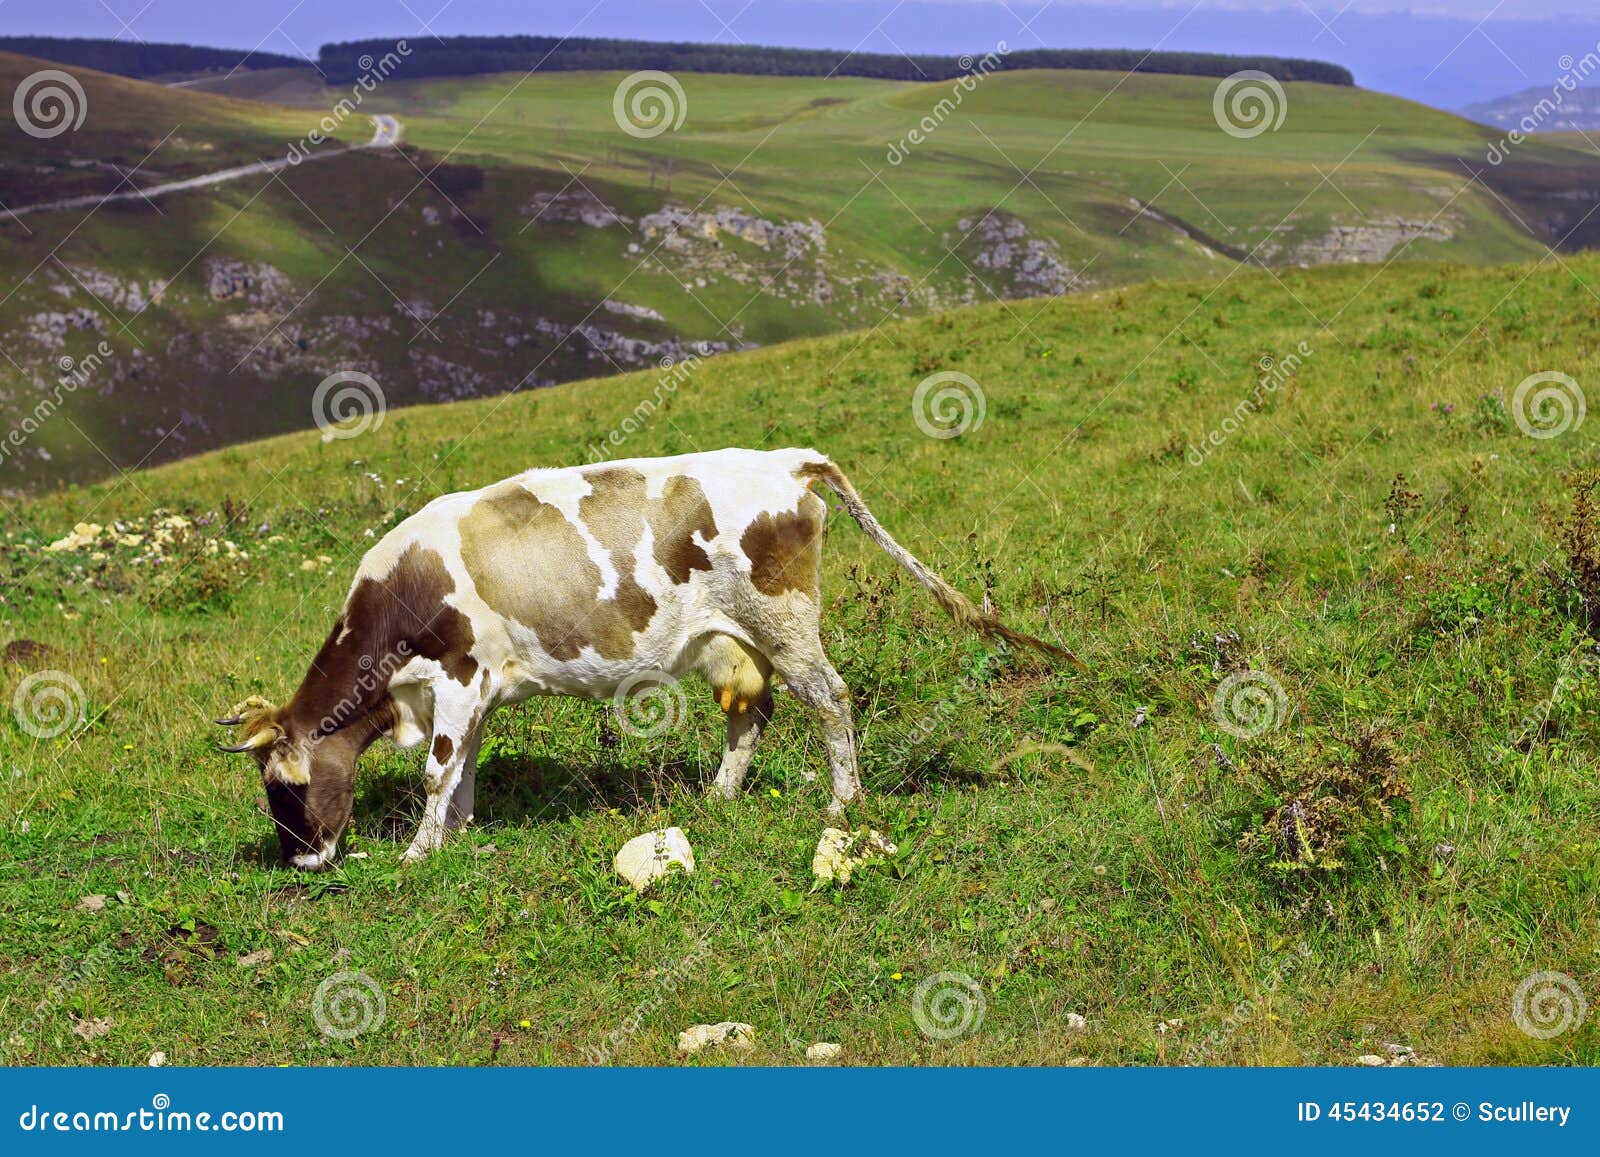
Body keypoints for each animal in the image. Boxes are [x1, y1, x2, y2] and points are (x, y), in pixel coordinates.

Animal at [217, 448, 1079, 869]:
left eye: (284, 786)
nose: (302, 862)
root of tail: (785, 458)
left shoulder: (457, 673)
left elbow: (437, 768)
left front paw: (418, 850)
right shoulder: (478, 687)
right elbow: (462, 768)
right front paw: (456, 834)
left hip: (787, 622)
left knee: (831, 697)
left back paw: (844, 802)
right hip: (738, 637)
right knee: (752, 713)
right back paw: (720, 797)